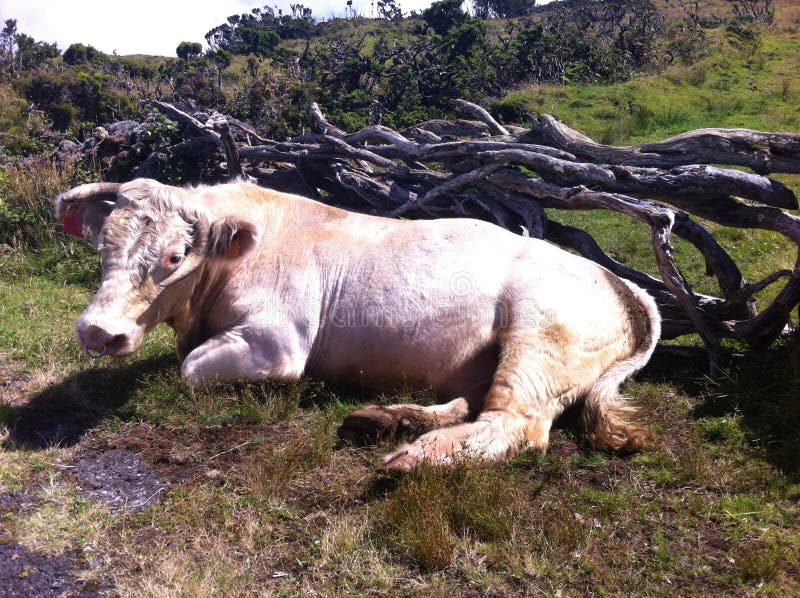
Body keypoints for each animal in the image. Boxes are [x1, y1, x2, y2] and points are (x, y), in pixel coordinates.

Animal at [55, 178, 660, 471]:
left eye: (175, 256)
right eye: (102, 244)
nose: (97, 331)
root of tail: (621, 282)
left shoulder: (278, 345)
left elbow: (188, 370)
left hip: (538, 339)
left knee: (515, 425)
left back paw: (418, 455)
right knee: (470, 403)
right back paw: (387, 419)